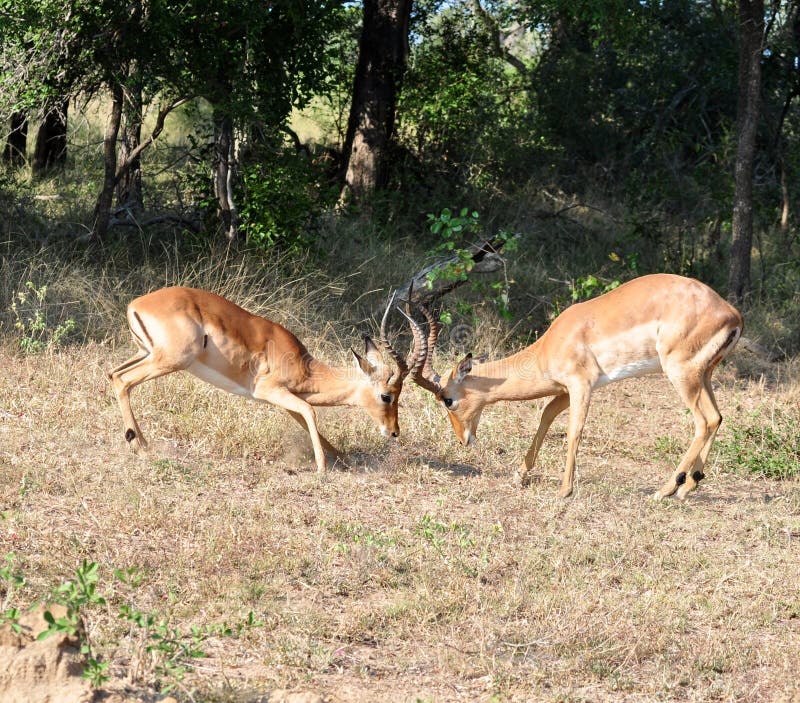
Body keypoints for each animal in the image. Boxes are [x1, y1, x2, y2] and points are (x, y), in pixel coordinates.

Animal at [108, 287, 421, 472]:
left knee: (113, 374)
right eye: (387, 395)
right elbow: (311, 413)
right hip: (170, 361)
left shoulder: (285, 400)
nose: (394, 432)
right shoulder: (269, 391)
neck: (304, 367)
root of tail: (136, 304)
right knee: (123, 380)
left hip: (147, 354)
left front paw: (344, 460)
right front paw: (321, 469)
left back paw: (141, 442)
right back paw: (139, 445)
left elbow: (309, 421)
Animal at [403, 274, 743, 500]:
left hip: (681, 373)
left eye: (448, 399)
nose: (463, 440)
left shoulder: (581, 385)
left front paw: (564, 490)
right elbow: (544, 419)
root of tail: (732, 314)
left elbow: (573, 431)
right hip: (704, 375)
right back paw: (689, 487)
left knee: (704, 420)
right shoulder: (563, 391)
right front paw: (520, 475)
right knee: (717, 417)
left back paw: (665, 490)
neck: (550, 344)